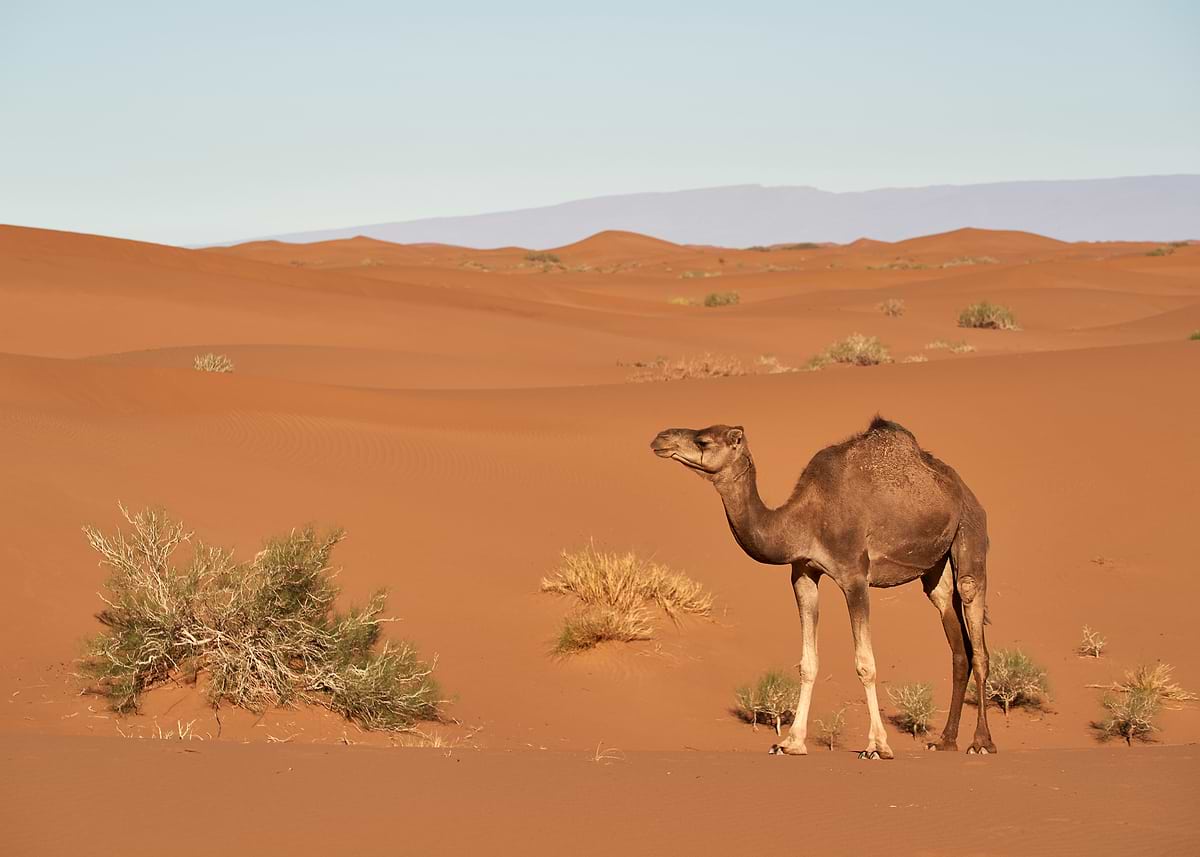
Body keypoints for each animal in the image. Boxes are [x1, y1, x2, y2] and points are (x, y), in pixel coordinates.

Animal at [650, 416, 995, 759]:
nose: (660, 438)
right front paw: (791, 742)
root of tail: (965, 491)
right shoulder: (803, 573)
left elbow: (865, 664)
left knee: (975, 627)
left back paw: (981, 743)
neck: (804, 520)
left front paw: (877, 745)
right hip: (935, 568)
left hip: (970, 530)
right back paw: (946, 741)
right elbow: (808, 662)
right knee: (956, 640)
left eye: (703, 441)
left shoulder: (855, 576)